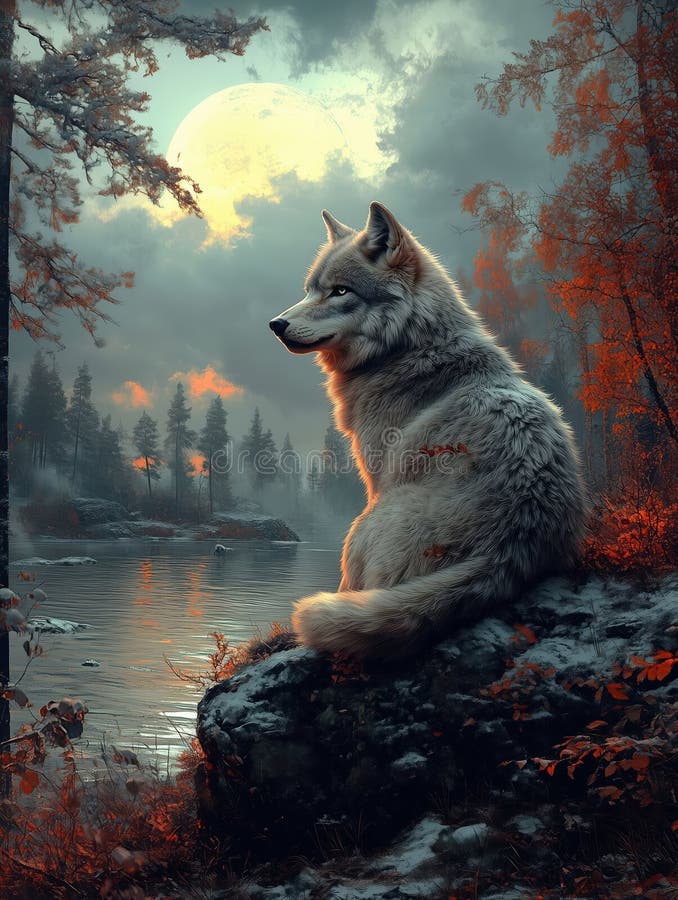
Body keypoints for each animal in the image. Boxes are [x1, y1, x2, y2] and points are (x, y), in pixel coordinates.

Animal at [269, 202, 587, 659]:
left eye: (341, 291)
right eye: (311, 290)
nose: (276, 324)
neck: (408, 347)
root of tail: (508, 549)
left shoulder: (375, 480)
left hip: (363, 523)